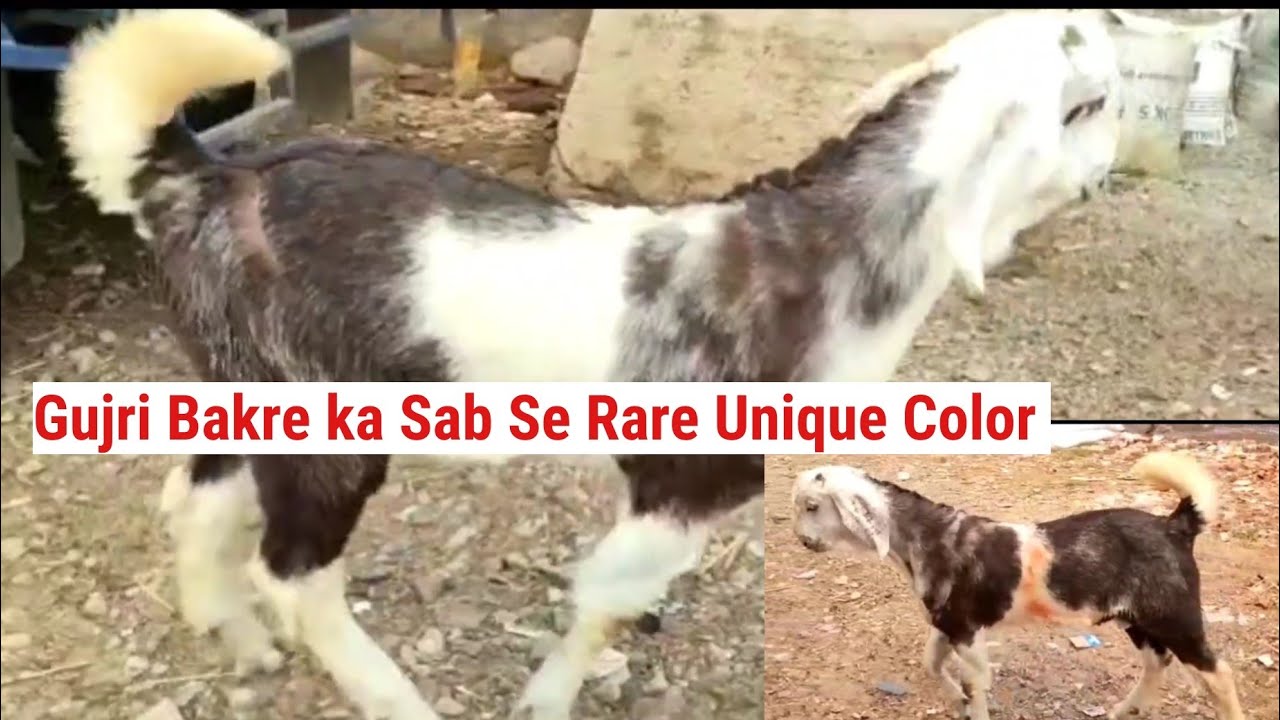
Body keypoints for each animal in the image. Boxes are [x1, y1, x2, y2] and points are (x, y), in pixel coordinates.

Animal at [57, 9, 1118, 720]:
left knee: (196, 502)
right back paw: (386, 692)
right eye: (1093, 102)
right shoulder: (686, 486)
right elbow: (606, 603)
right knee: (294, 575)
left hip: (249, 385)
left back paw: (235, 637)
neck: (818, 258)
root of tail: (202, 182)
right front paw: (547, 698)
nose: (1110, 170)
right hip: (328, 424)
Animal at [790, 452, 1246, 720]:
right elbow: (931, 663)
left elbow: (976, 686)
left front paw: (967, 703)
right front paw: (955, 701)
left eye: (812, 506)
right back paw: (1126, 711)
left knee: (1219, 675)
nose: (802, 541)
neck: (930, 537)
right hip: (1136, 619)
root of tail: (1176, 525)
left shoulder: (966, 633)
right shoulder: (947, 624)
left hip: (1176, 617)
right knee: (1157, 662)